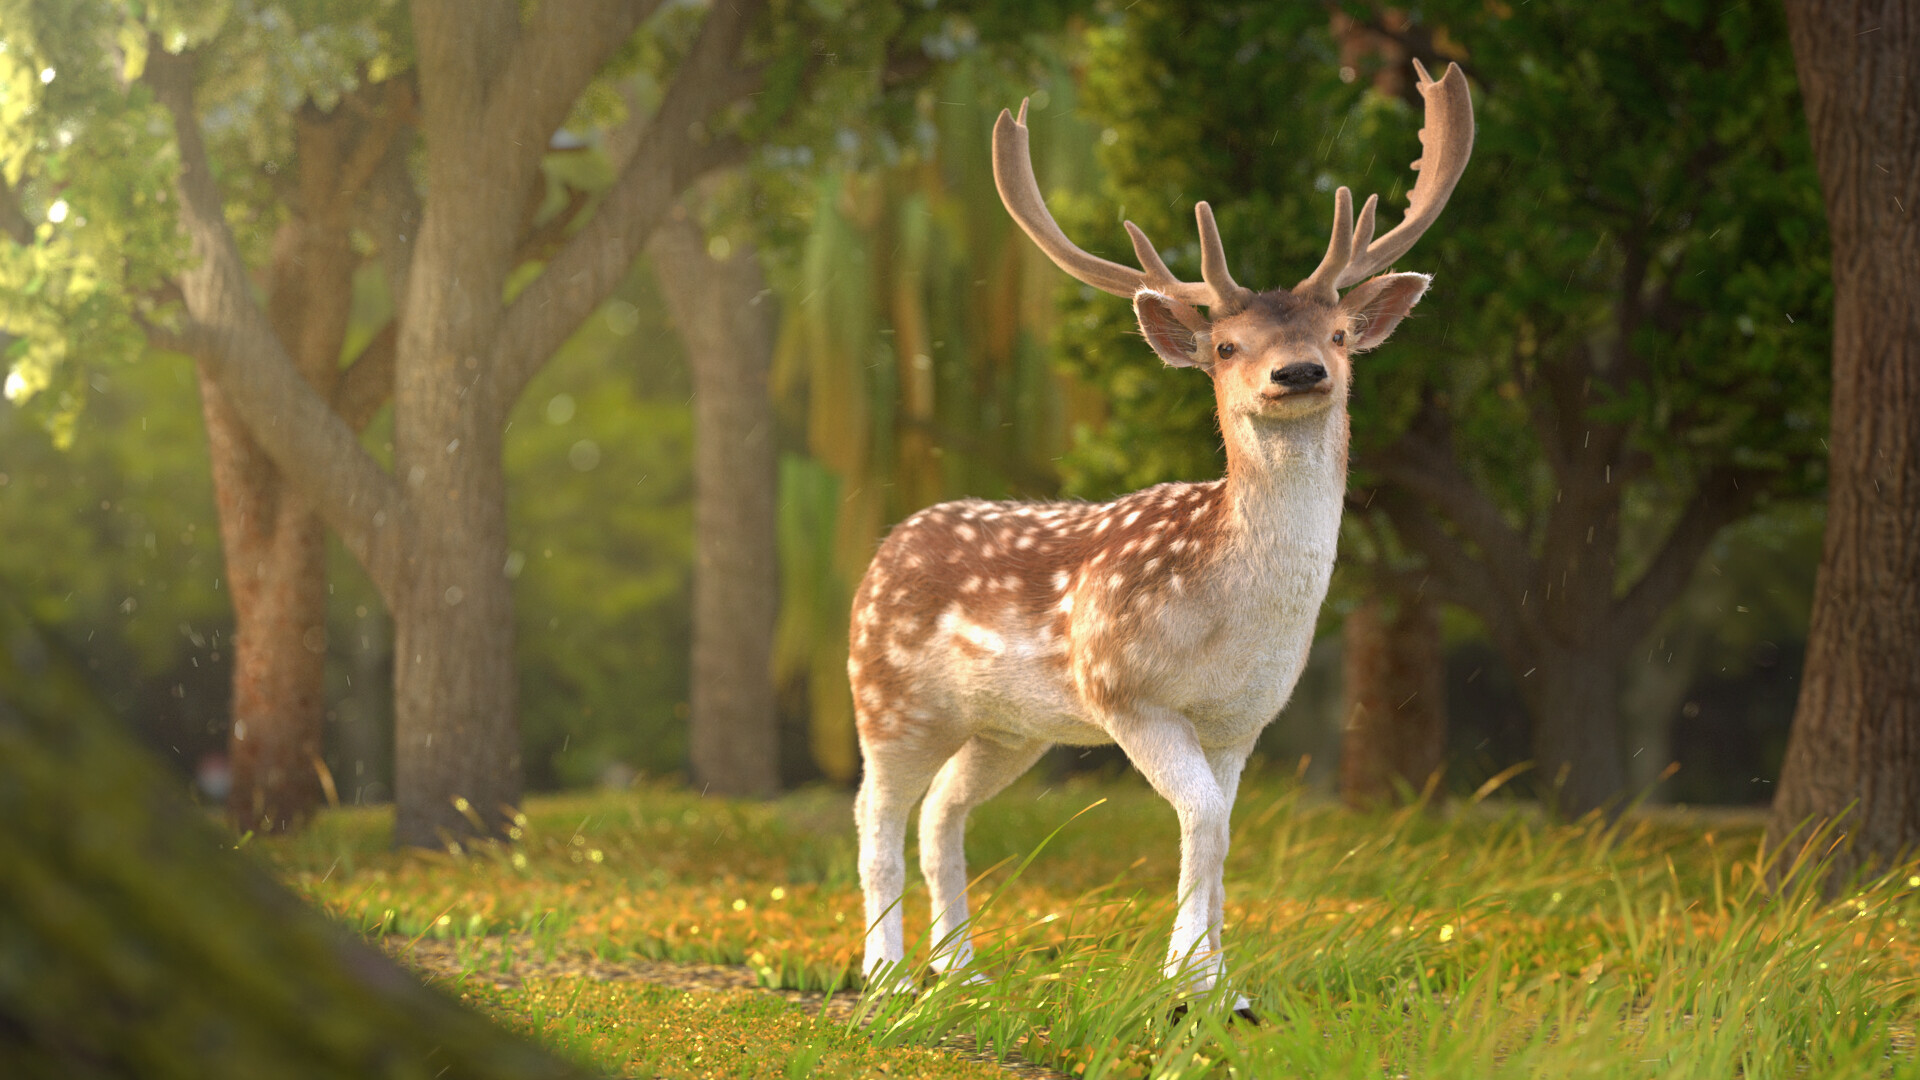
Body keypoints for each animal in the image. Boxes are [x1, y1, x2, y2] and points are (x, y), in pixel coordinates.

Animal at [849, 60, 1473, 1011]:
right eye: (1225, 346)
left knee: (942, 810)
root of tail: (885, 548)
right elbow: (1202, 818)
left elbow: (1223, 828)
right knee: (877, 815)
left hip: (1009, 728)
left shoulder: (1244, 718)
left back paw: (963, 971)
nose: (1300, 372)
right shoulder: (1126, 688)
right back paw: (885, 979)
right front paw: (1189, 976)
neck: (1232, 620)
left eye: (1338, 334)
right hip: (887, 699)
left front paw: (1223, 981)